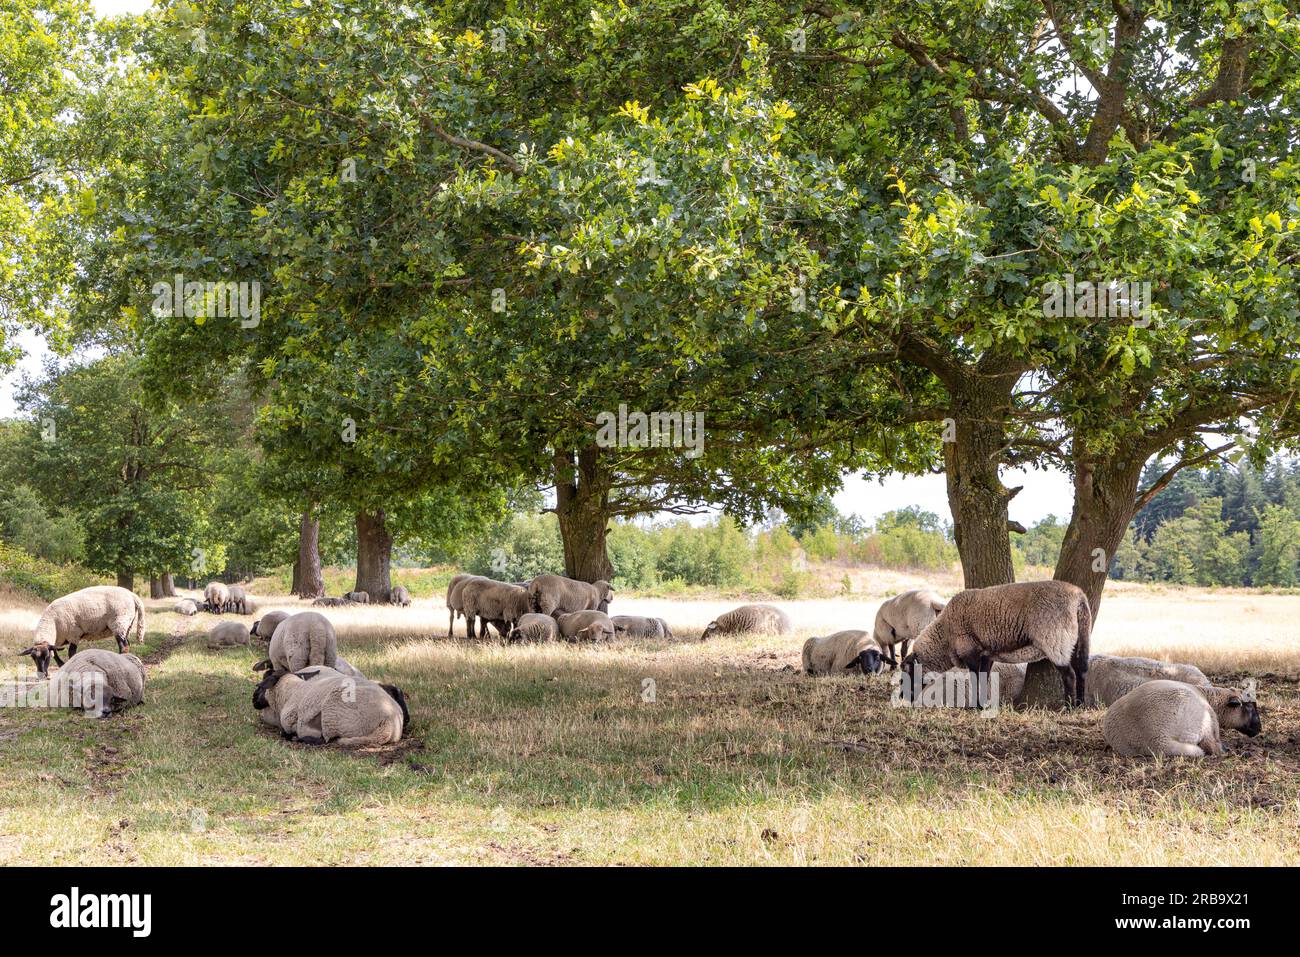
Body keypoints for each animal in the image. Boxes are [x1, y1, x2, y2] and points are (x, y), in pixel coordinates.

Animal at [902, 580, 1090, 708]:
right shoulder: (987, 655)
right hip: (1076, 639)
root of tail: (1079, 597)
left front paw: (976, 706)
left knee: (1069, 675)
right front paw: (983, 704)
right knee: (1081, 671)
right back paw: (1080, 705)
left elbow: (975, 678)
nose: (903, 697)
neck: (945, 635)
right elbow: (984, 678)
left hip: (1056, 639)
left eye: (906, 674)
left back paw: (1068, 708)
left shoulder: (970, 652)